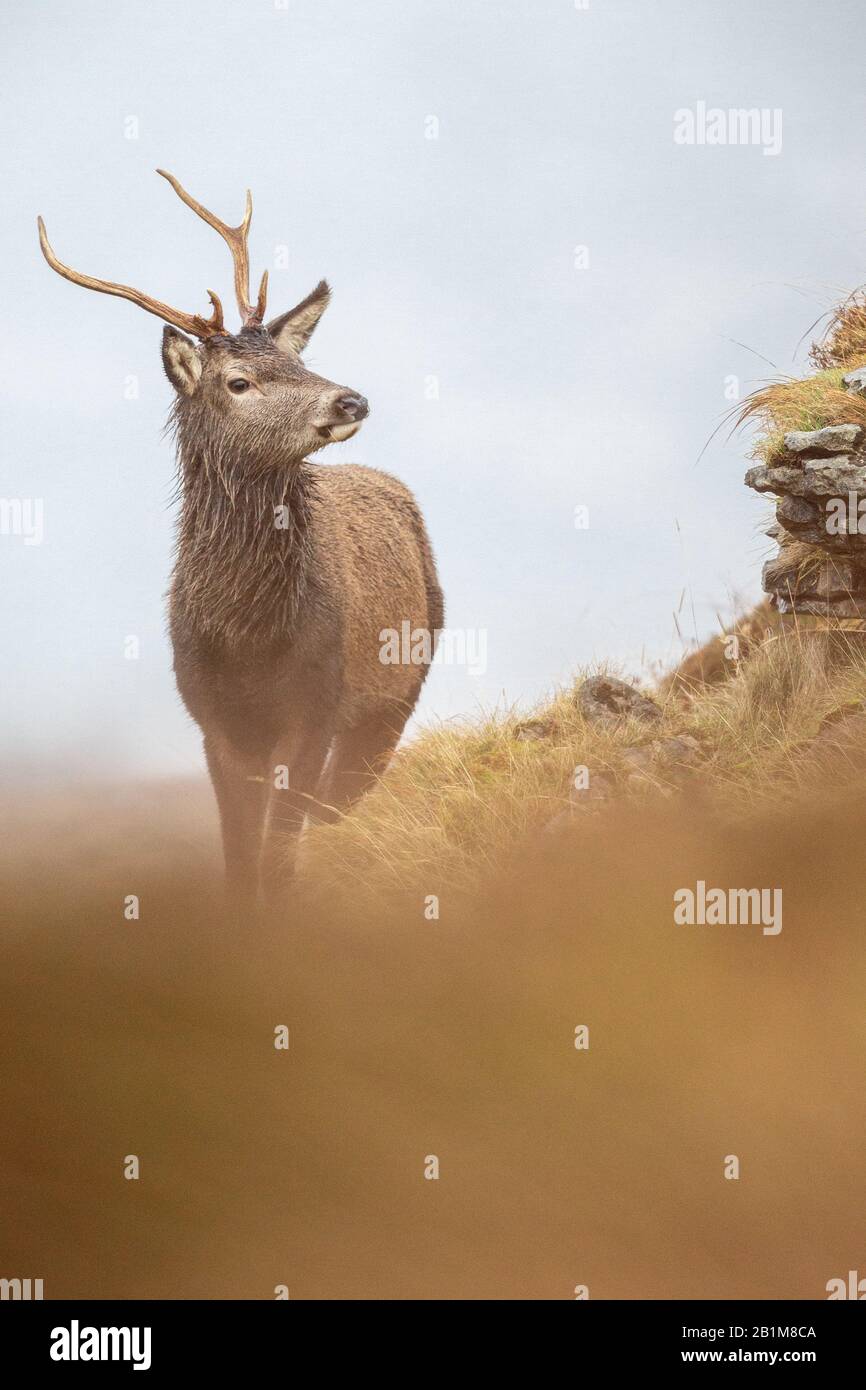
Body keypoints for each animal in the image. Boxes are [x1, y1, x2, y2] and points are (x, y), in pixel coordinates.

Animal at [38, 171, 443, 911]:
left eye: (297, 358)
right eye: (238, 381)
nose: (351, 400)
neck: (251, 635)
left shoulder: (317, 706)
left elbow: (279, 859)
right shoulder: (212, 720)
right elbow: (238, 858)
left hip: (401, 690)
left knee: (341, 801)